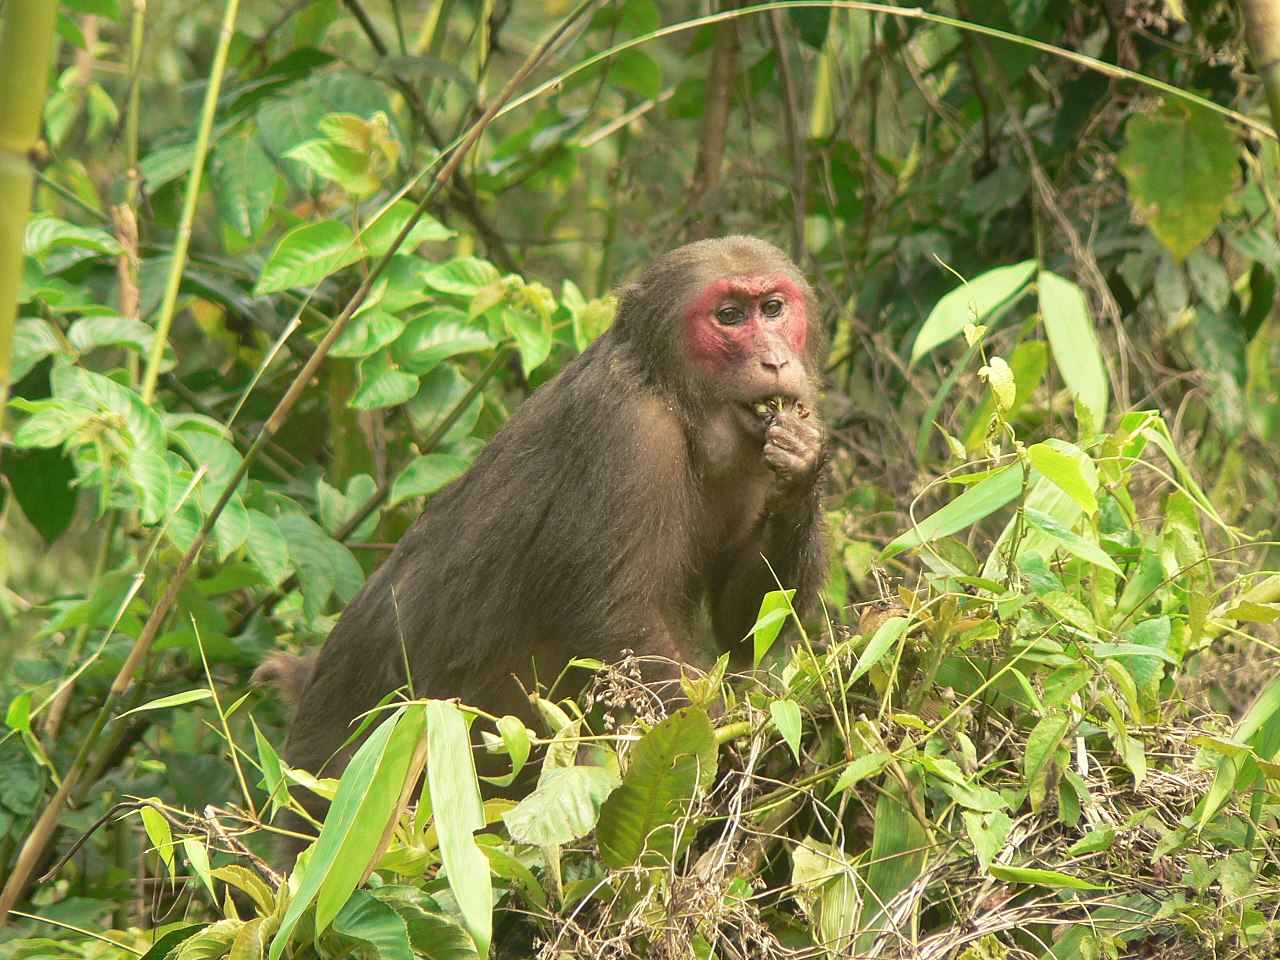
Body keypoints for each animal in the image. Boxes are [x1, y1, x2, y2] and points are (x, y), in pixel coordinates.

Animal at [260, 236, 829, 853]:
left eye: (772, 308)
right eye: (729, 317)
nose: (775, 359)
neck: (675, 397)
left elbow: (744, 621)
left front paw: (804, 462)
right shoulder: (627, 433)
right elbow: (624, 620)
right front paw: (726, 751)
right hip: (336, 773)